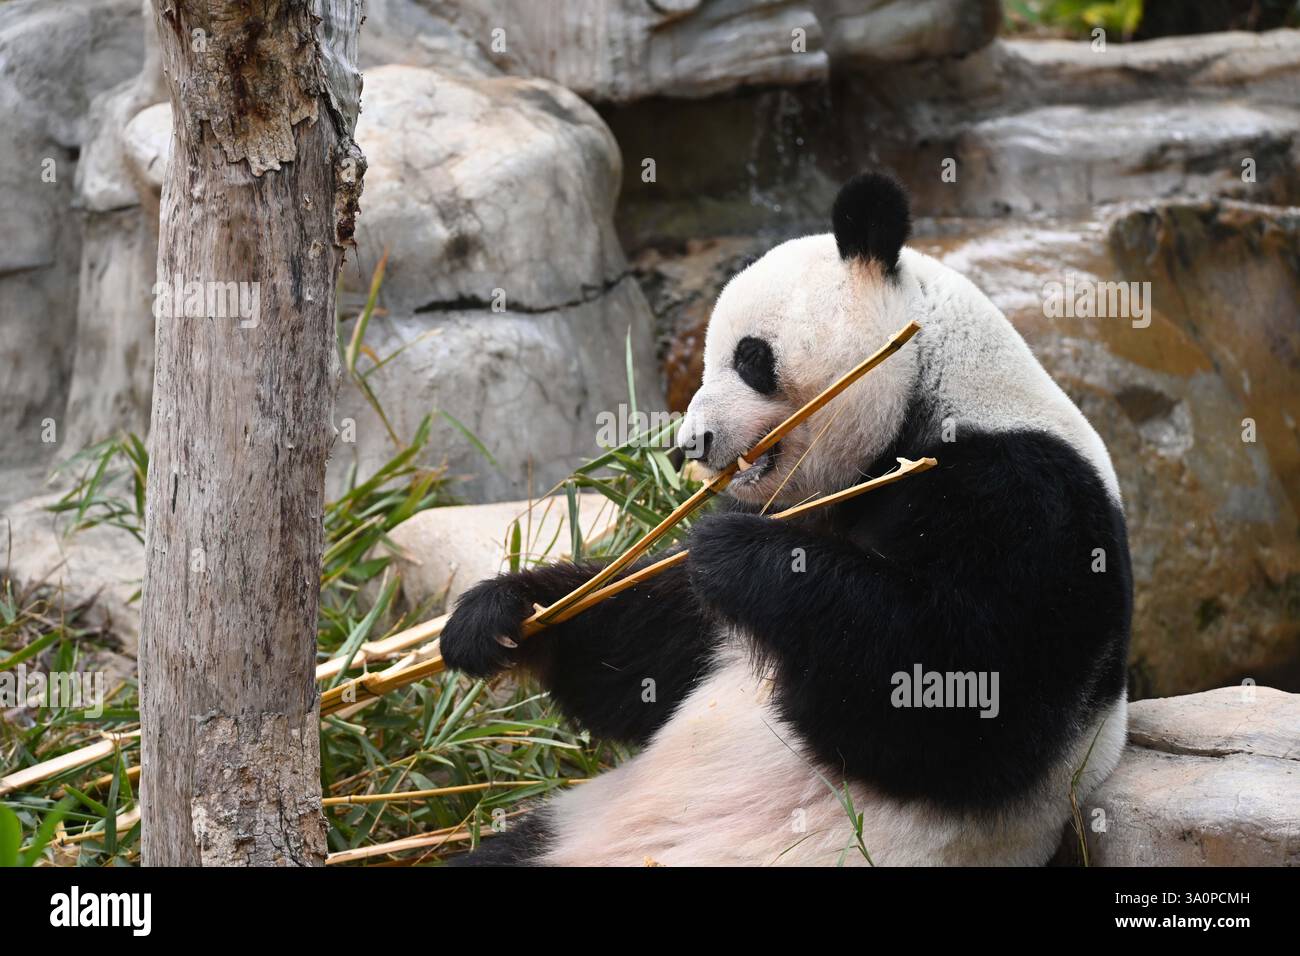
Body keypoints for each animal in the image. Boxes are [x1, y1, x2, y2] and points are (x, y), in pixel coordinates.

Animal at [440, 172, 1132, 866]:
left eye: (750, 357)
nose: (690, 443)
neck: (926, 400)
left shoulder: (1030, 498)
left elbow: (959, 689)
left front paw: (732, 552)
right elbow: (649, 648)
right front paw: (496, 616)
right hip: (566, 829)